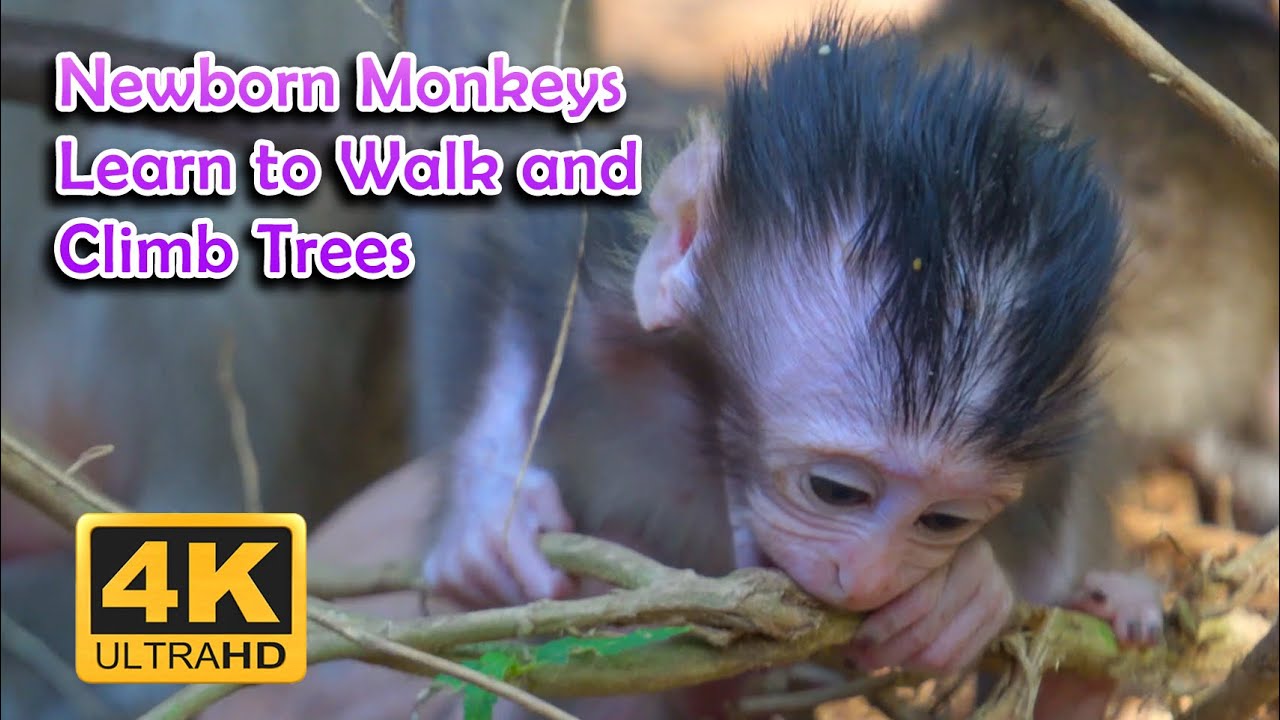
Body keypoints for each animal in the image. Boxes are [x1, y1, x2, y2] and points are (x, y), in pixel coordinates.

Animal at [412, 15, 1164, 719]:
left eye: (944, 522)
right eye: (835, 491)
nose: (867, 577)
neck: (709, 434)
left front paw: (966, 593)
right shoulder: (602, 294)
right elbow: (521, 283)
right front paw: (489, 509)